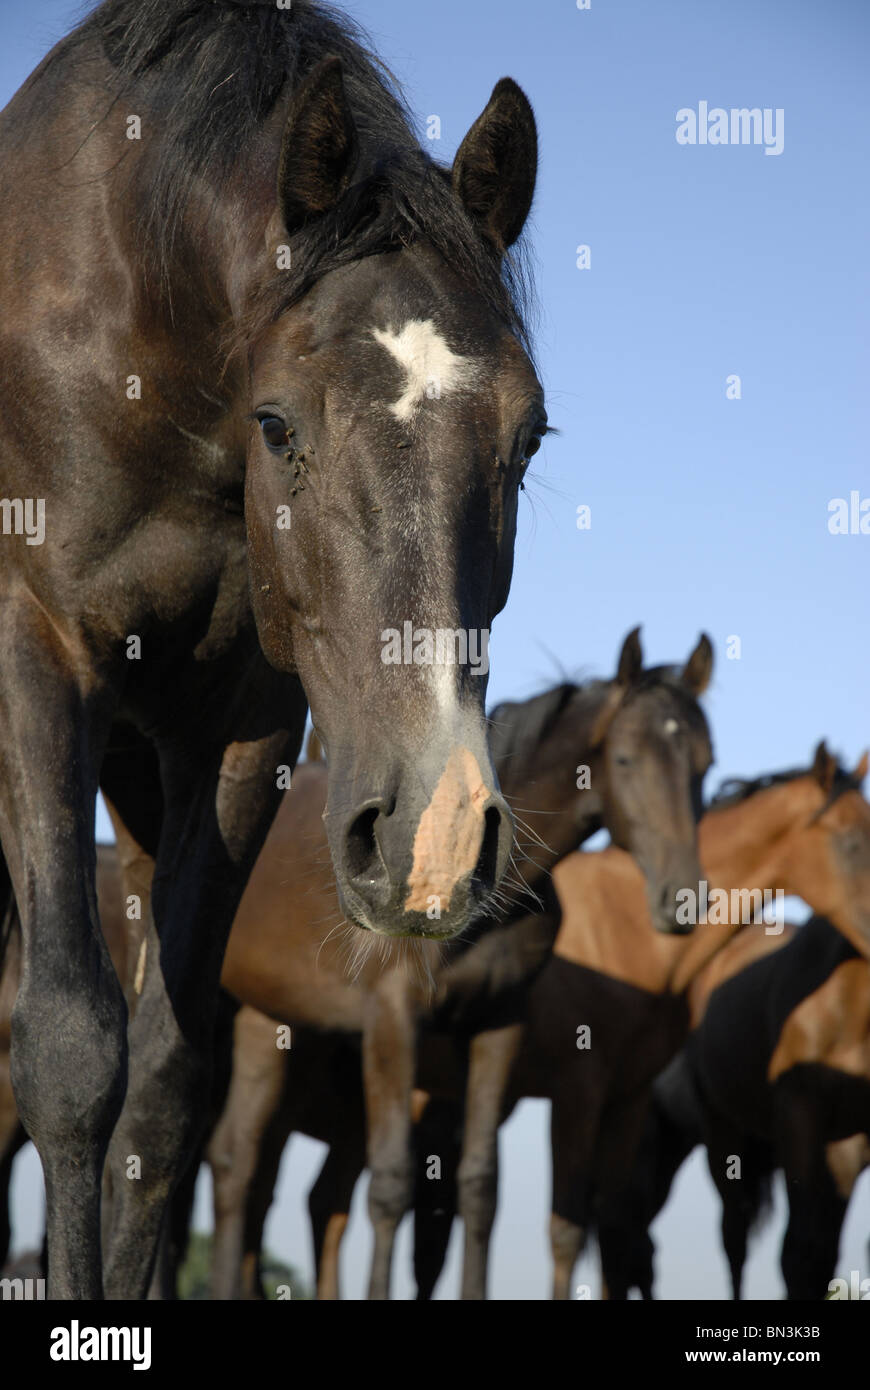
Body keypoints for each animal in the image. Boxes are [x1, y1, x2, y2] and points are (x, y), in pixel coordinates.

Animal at [0, 0, 544, 1297]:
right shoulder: (35, 651)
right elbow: (68, 1049)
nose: (437, 835)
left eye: (531, 438)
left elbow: (163, 1087)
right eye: (281, 424)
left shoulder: (243, 725)